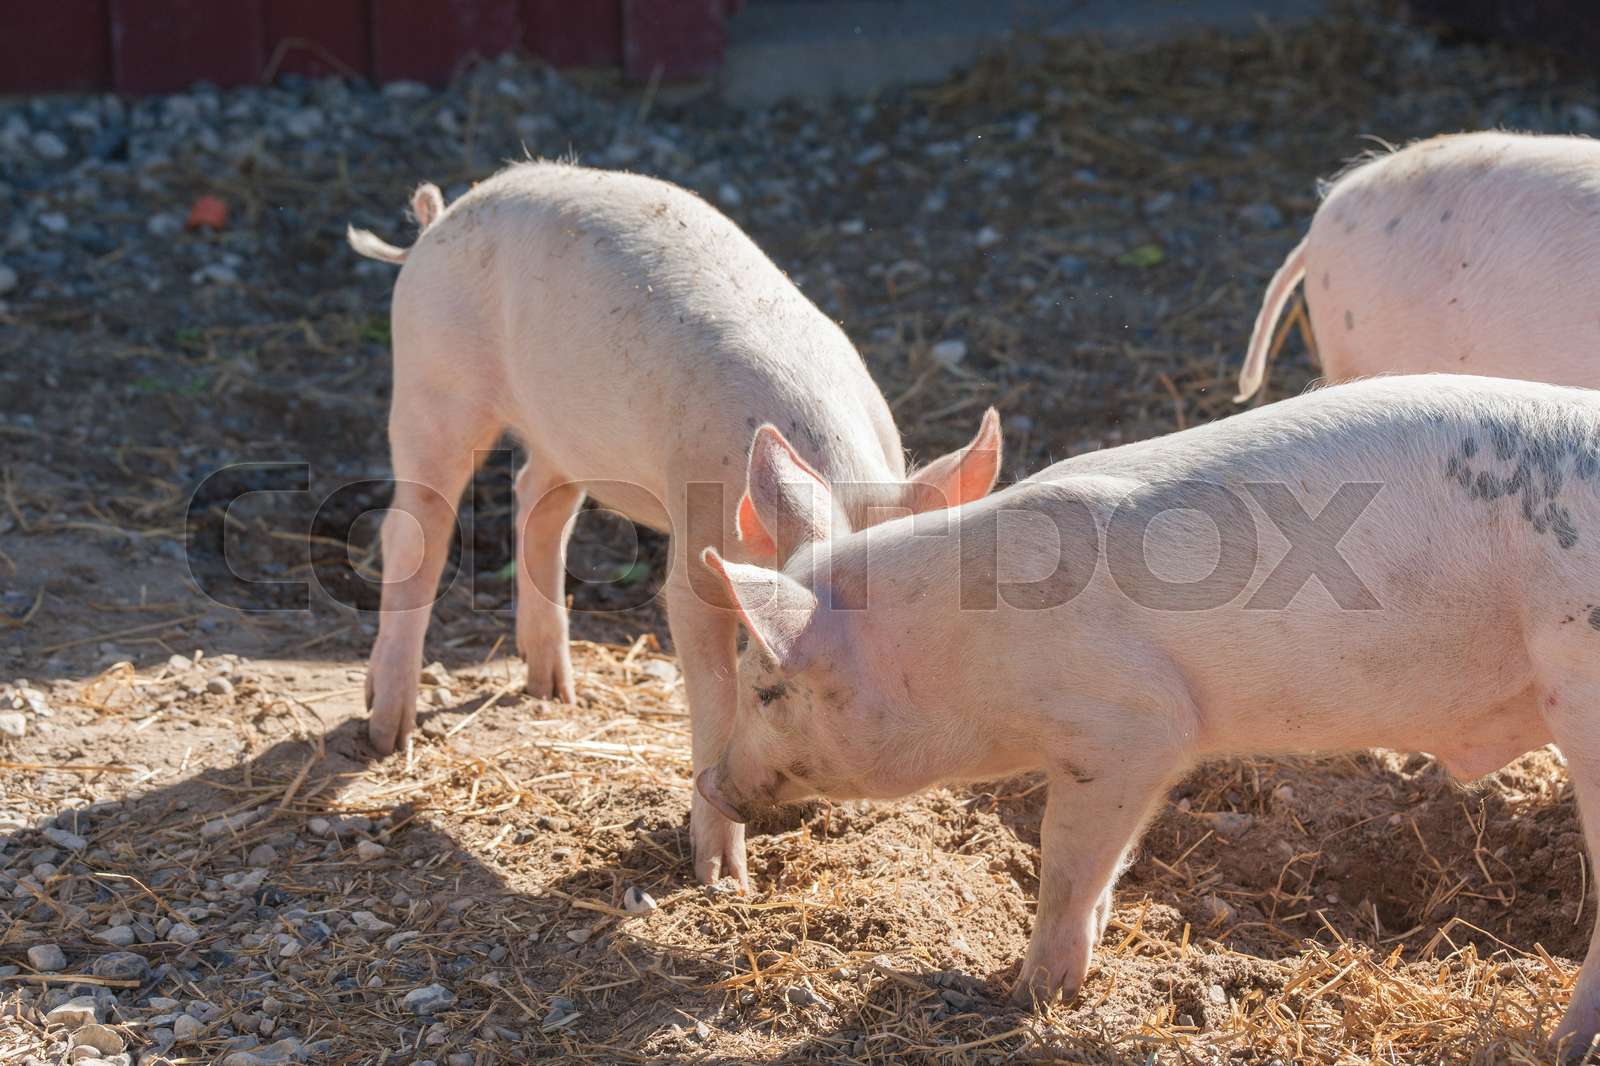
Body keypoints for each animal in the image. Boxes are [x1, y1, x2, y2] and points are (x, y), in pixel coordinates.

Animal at [346, 161, 1002, 887]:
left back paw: (555, 692)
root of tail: (439, 221)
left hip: (565, 432)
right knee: (413, 529)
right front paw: (723, 878)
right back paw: (387, 731)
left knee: (537, 500)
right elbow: (713, 690)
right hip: (431, 381)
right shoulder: (694, 558)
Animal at [697, 373, 1600, 1054]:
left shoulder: (1128, 728)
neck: (961, 655)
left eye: (770, 690)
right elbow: (1108, 869)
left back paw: (1558, 1046)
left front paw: (1027, 998)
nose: (711, 783)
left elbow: (1066, 865)